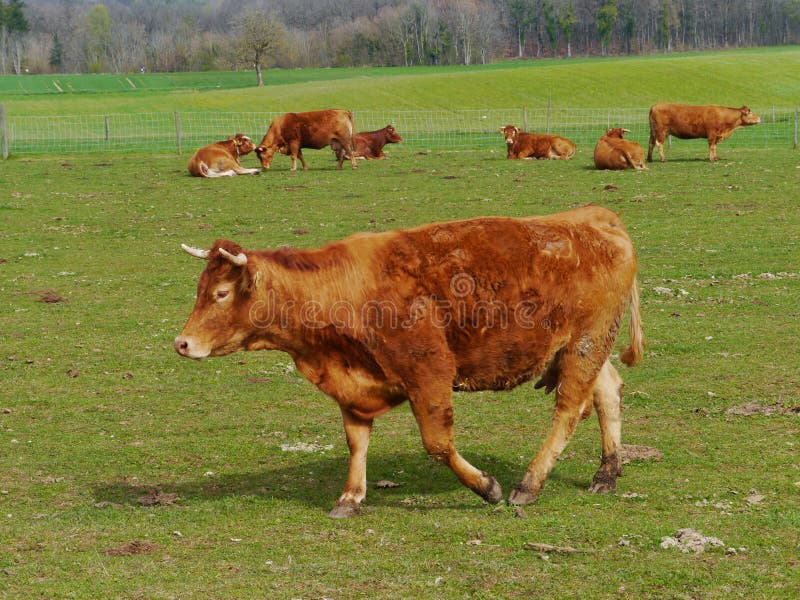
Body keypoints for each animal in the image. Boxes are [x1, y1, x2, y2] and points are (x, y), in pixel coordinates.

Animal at [175, 205, 645, 518]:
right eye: (200, 288)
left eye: (221, 293)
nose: (182, 343)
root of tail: (594, 218)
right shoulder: (353, 388)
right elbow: (356, 442)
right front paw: (350, 497)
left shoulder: (429, 372)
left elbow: (437, 443)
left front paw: (487, 487)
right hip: (584, 349)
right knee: (607, 393)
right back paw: (607, 473)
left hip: (587, 343)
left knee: (568, 410)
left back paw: (527, 485)